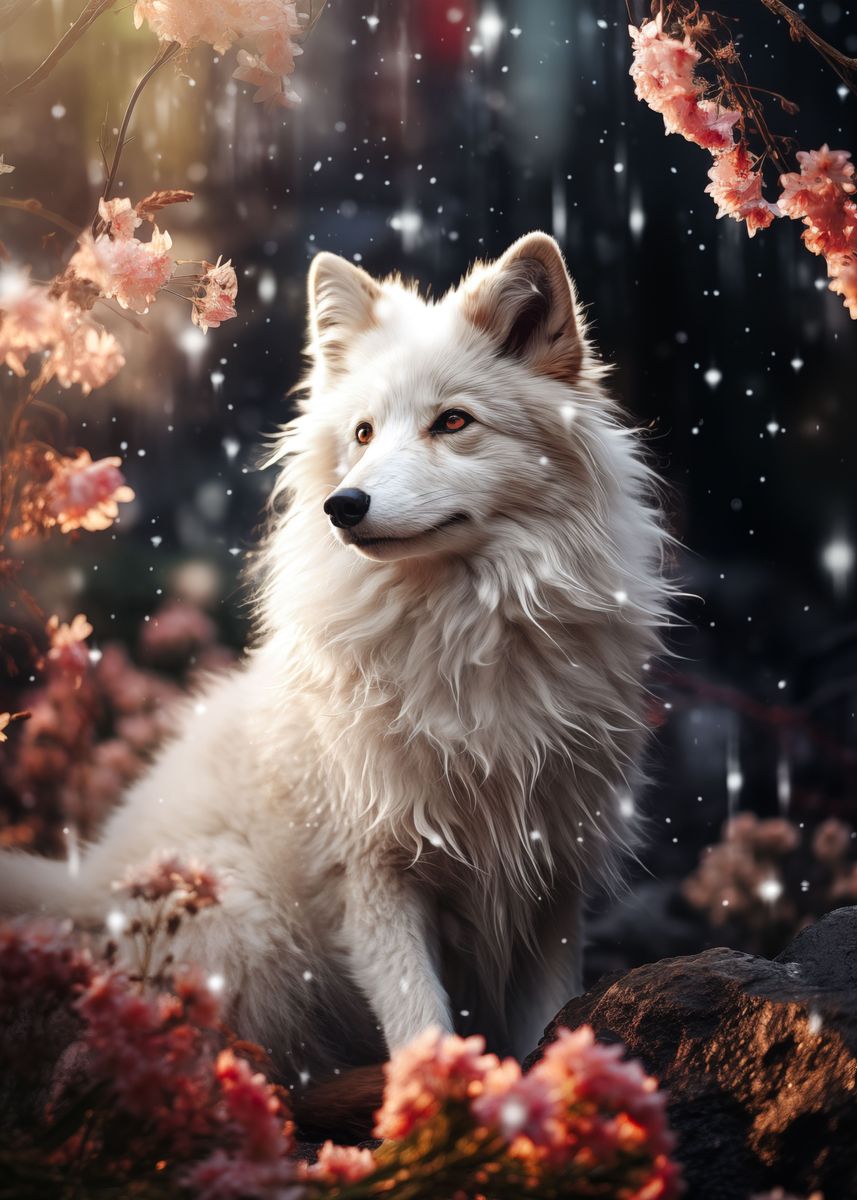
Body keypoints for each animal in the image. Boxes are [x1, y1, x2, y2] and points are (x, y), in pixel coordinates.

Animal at [0, 232, 670, 1102]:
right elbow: (419, 1019)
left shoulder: (550, 874)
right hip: (245, 924)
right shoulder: (376, 875)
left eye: (453, 422)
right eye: (361, 434)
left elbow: (548, 1021)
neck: (465, 638)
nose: (342, 507)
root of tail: (85, 895)